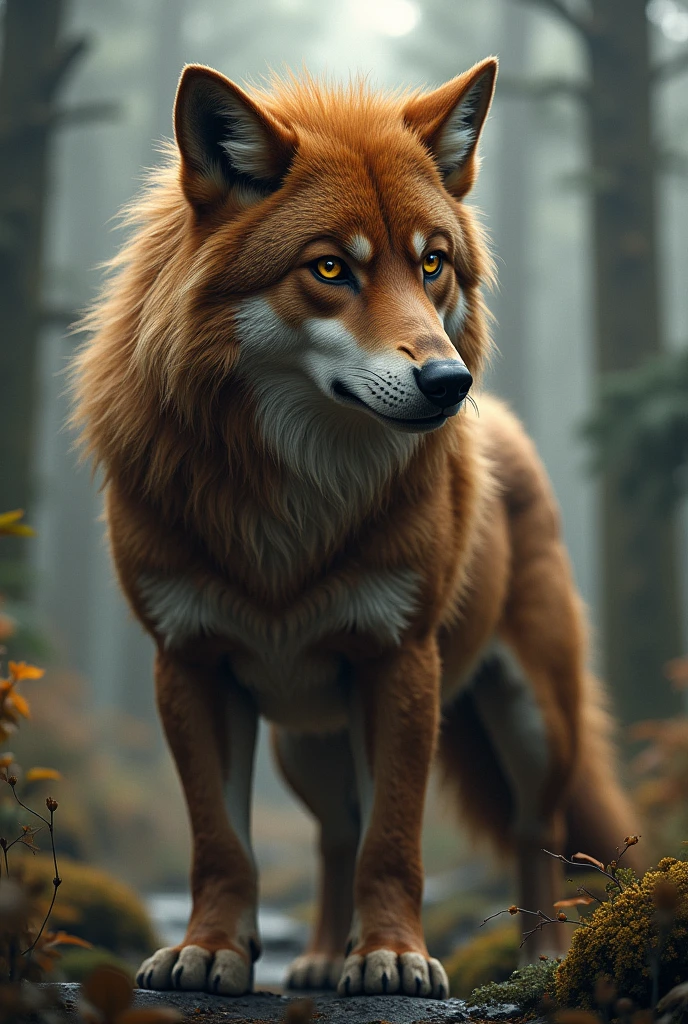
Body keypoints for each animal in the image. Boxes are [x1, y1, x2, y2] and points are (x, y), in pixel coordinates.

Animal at [72, 58, 638, 999]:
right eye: (332, 267)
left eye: (433, 262)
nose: (448, 383)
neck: (298, 503)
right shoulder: (187, 663)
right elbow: (221, 841)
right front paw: (211, 949)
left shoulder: (398, 663)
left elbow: (394, 840)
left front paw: (394, 958)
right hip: (307, 745)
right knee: (334, 835)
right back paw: (314, 959)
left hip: (531, 724)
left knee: (537, 832)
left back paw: (539, 961)